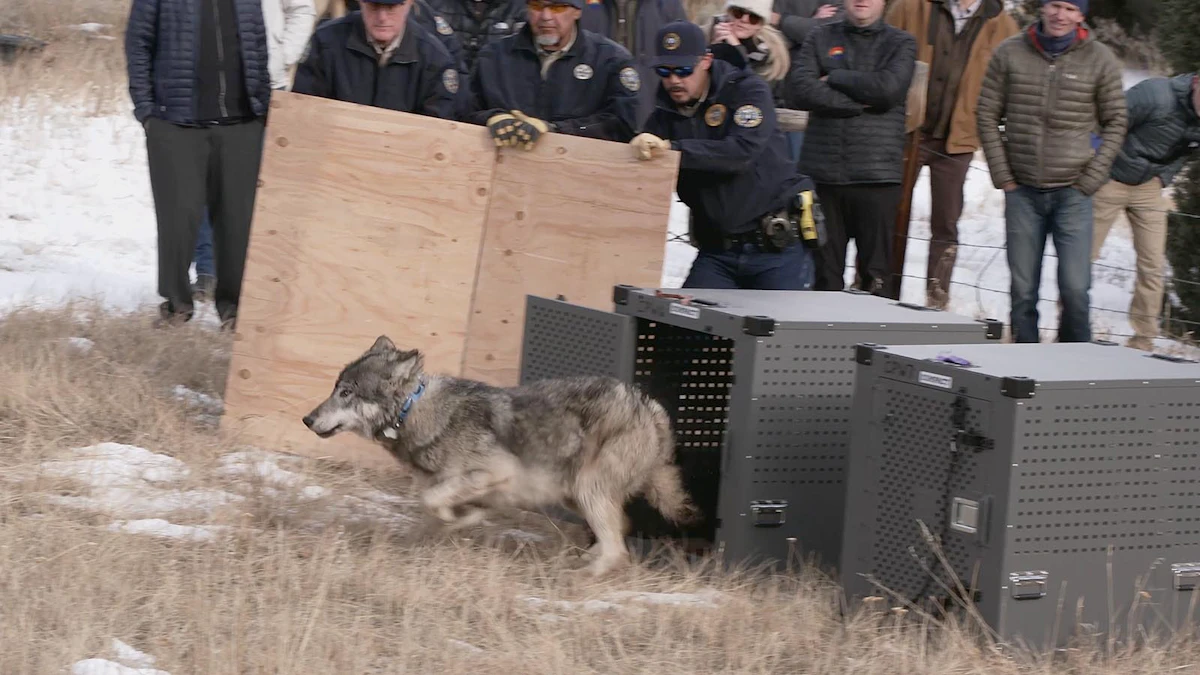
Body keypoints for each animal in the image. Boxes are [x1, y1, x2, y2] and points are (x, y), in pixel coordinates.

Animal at [302, 335, 700, 576]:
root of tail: (649, 407)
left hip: (588, 490)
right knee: (619, 533)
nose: (307, 419)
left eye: (346, 392)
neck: (412, 411)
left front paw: (456, 519)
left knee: (618, 549)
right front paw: (450, 525)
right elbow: (434, 509)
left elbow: (433, 501)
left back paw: (578, 576)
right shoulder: (470, 490)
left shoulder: (495, 473)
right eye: (334, 389)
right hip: (575, 495)